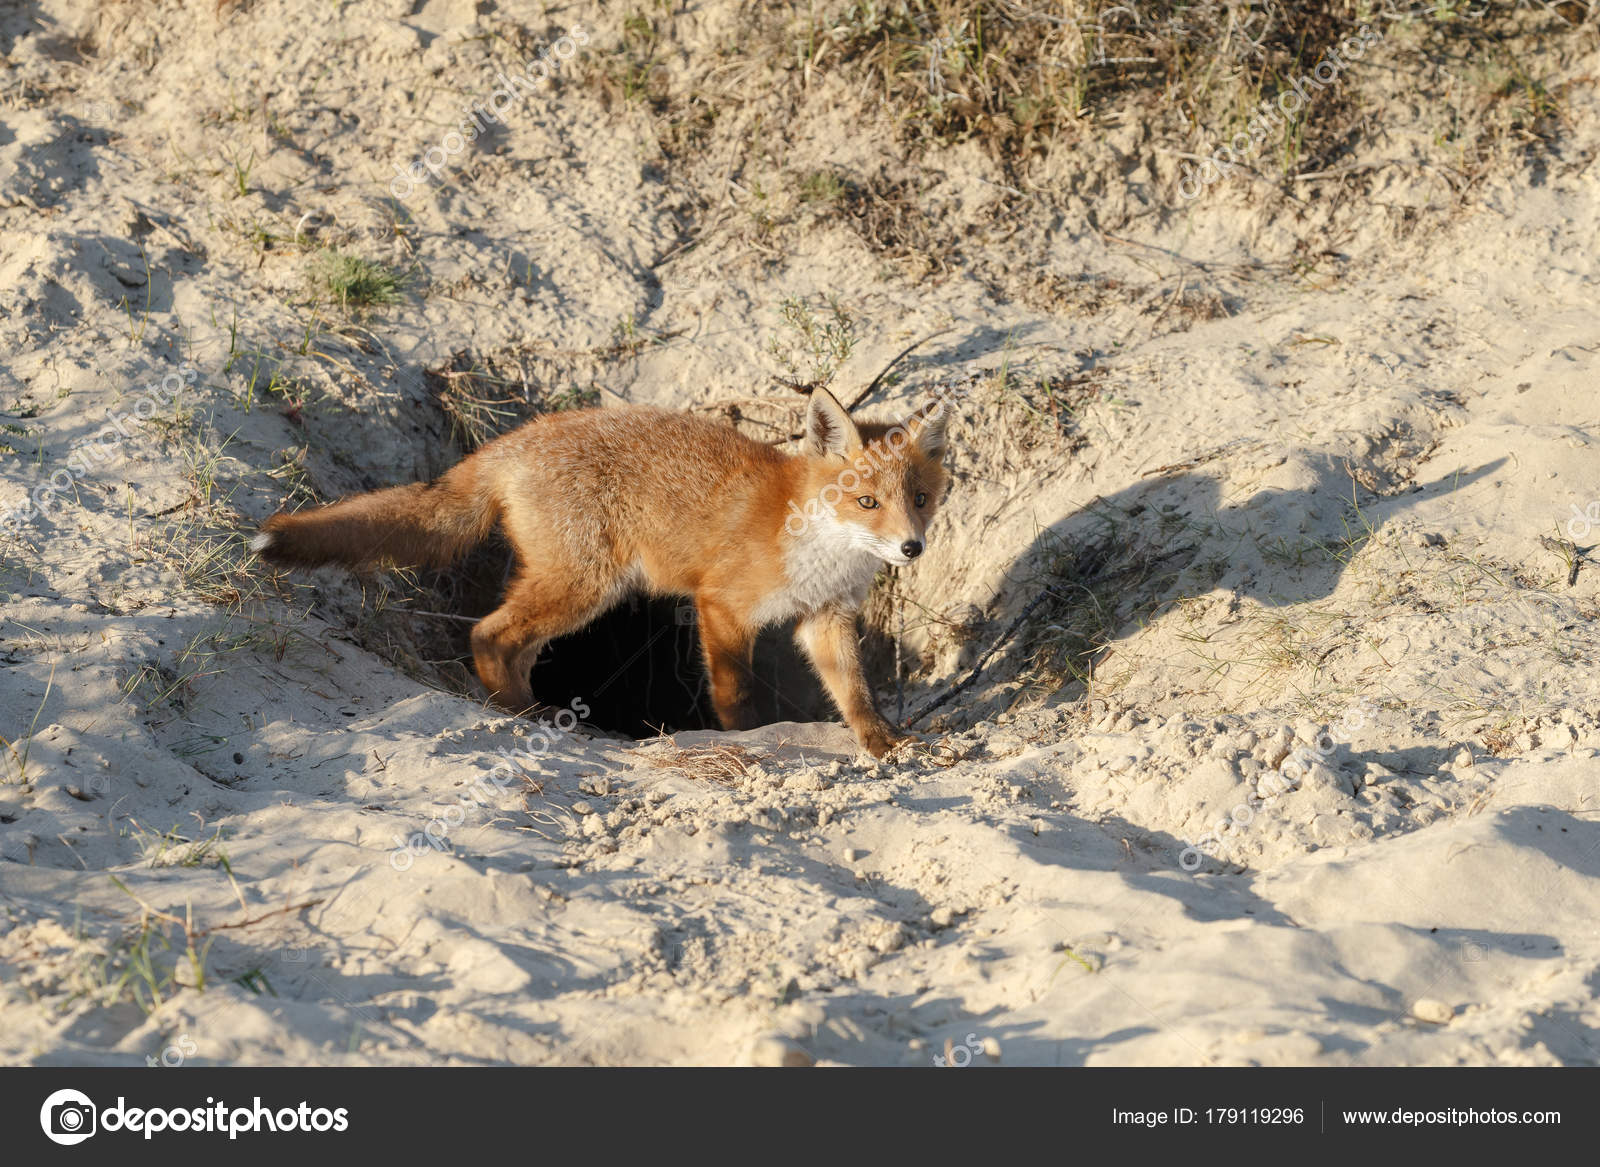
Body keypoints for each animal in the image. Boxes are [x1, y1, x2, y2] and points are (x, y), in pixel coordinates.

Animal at [251, 388, 950, 756]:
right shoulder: (721, 607)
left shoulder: (825, 618)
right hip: (585, 586)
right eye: (867, 502)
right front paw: (745, 739)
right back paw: (522, 717)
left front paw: (881, 742)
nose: (912, 548)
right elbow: (736, 697)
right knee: (487, 635)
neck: (810, 540)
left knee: (512, 646)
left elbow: (854, 692)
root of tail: (513, 438)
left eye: (919, 498)